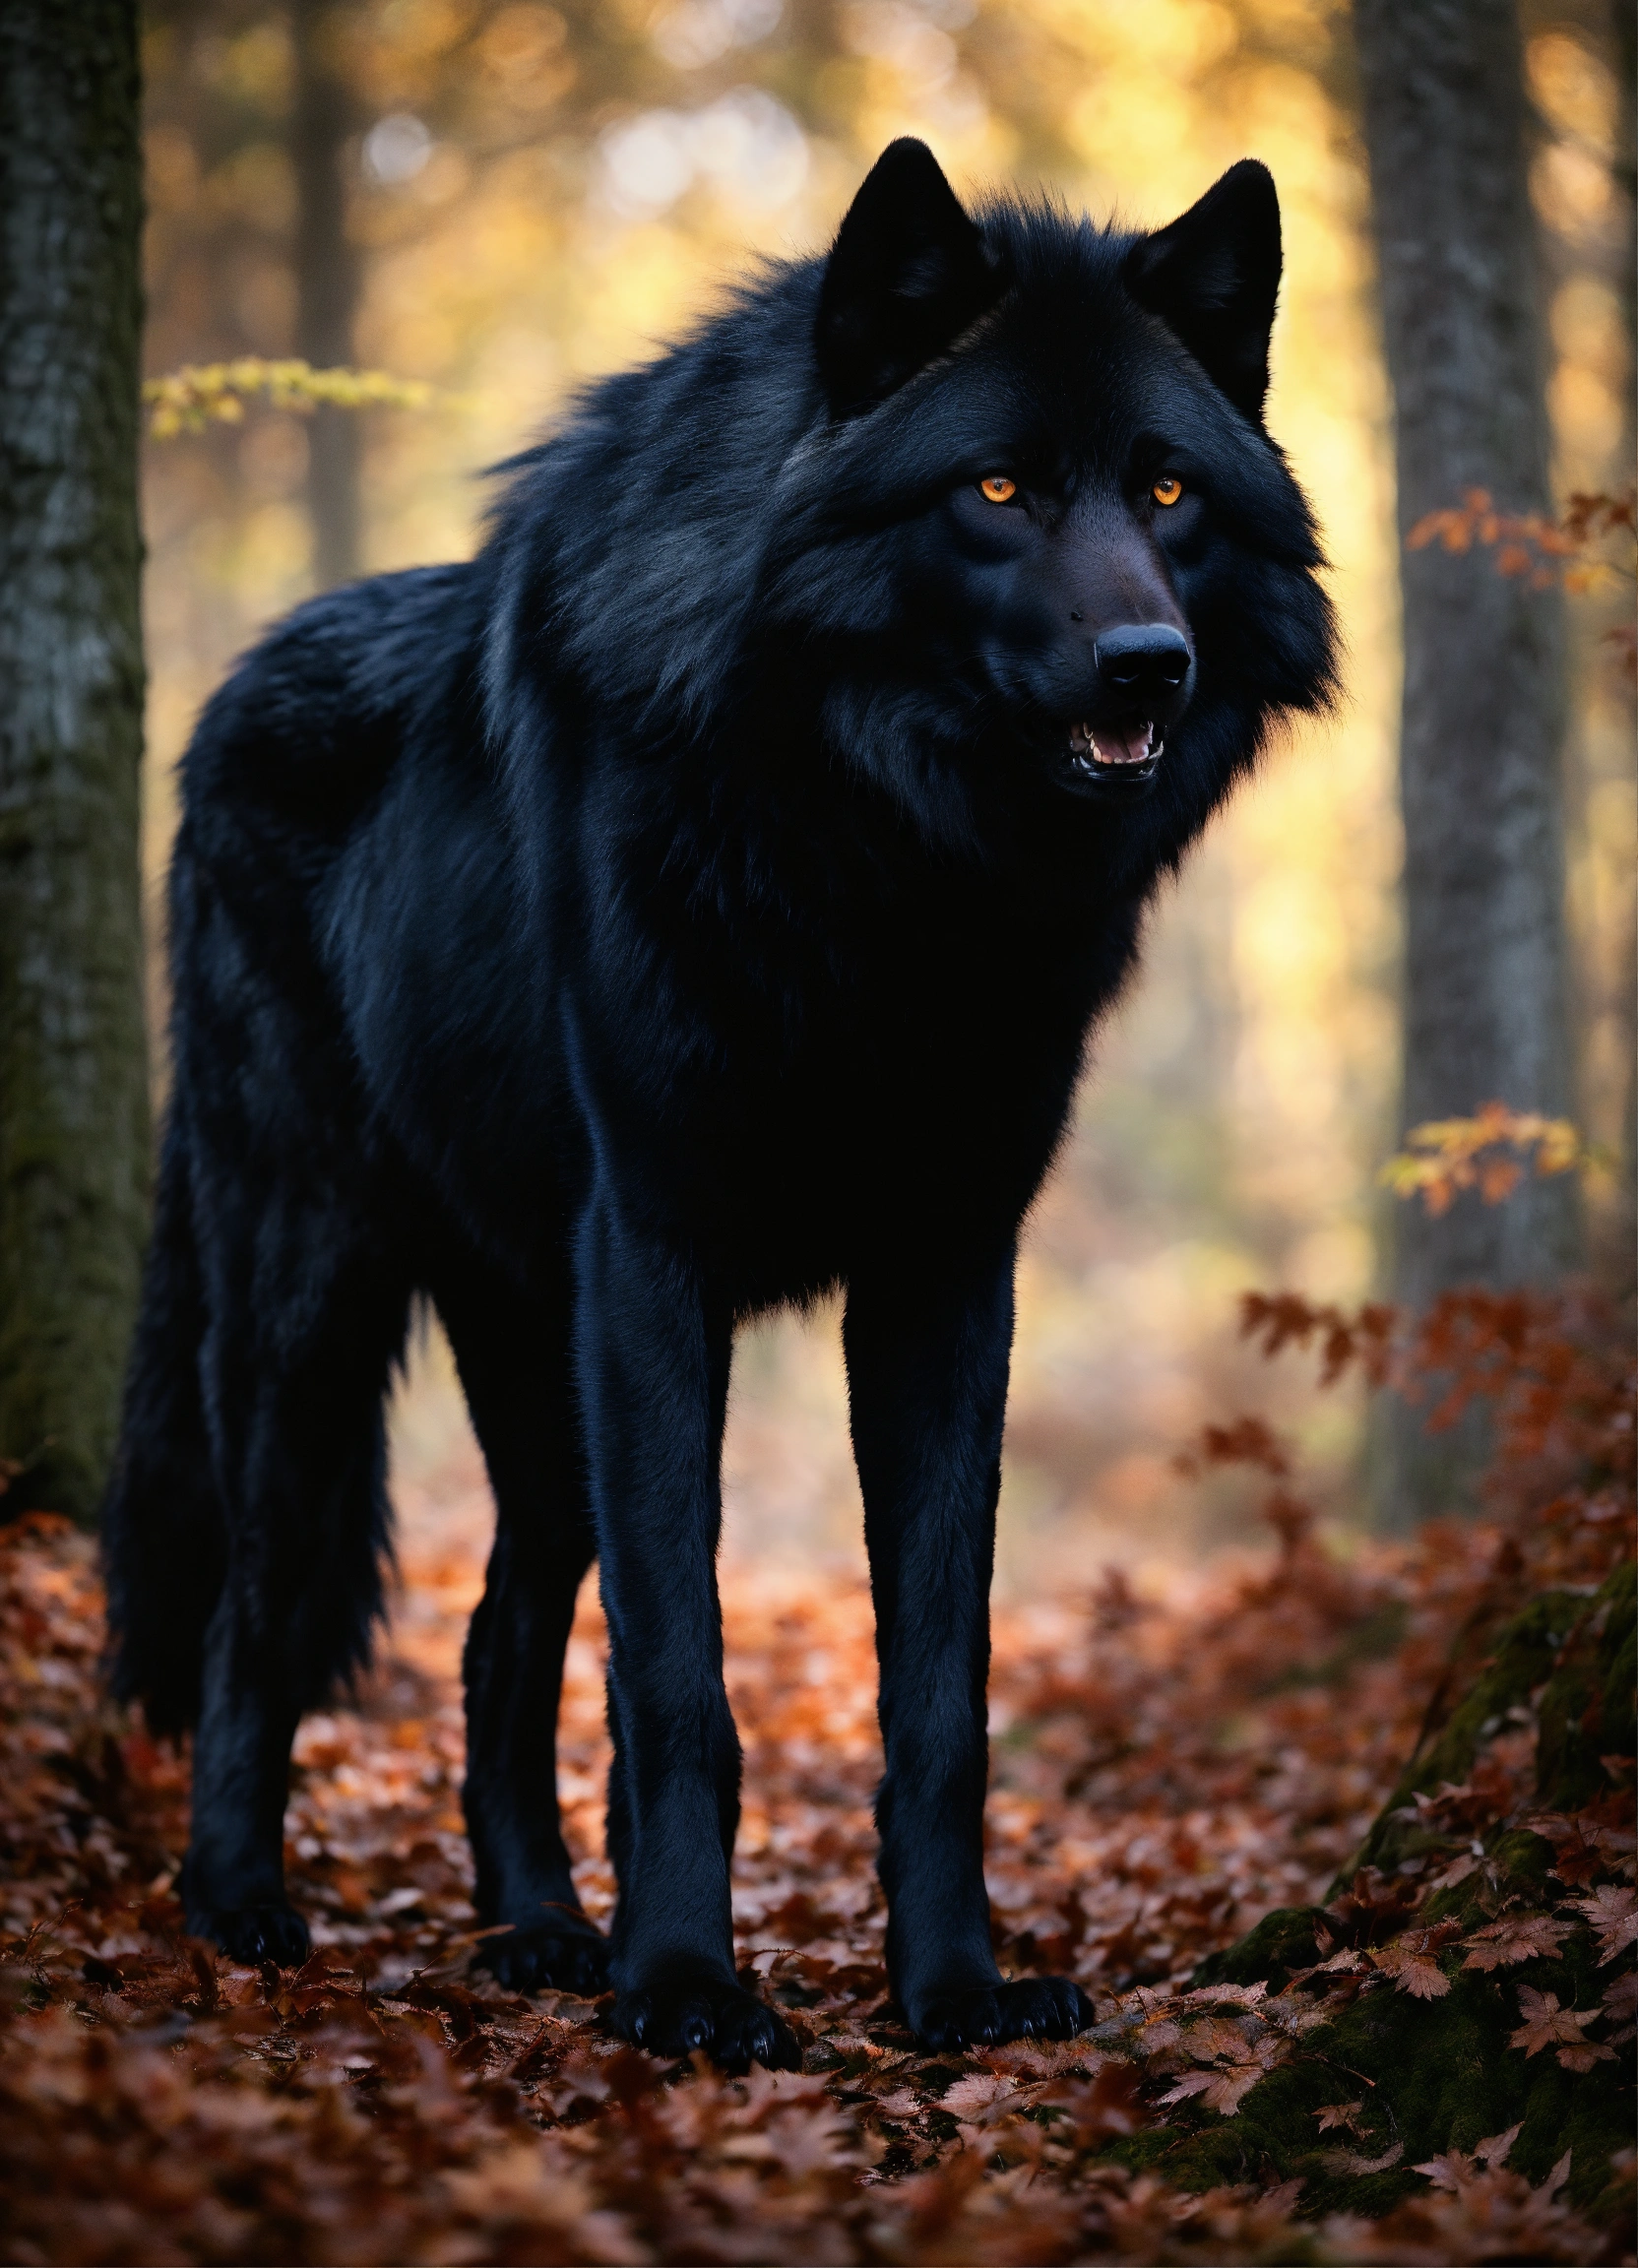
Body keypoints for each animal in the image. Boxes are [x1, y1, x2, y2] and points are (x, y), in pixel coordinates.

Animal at [106, 139, 1335, 2069]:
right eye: (996, 486)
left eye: (1165, 489)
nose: (1148, 660)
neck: (883, 865)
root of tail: (231, 683)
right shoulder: (658, 1260)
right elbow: (679, 1671)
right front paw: (686, 1984)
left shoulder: (942, 1273)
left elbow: (939, 1682)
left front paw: (951, 1987)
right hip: (317, 1307)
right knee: (260, 1601)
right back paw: (241, 1905)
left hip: (534, 1377)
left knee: (499, 1629)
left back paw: (537, 1930)